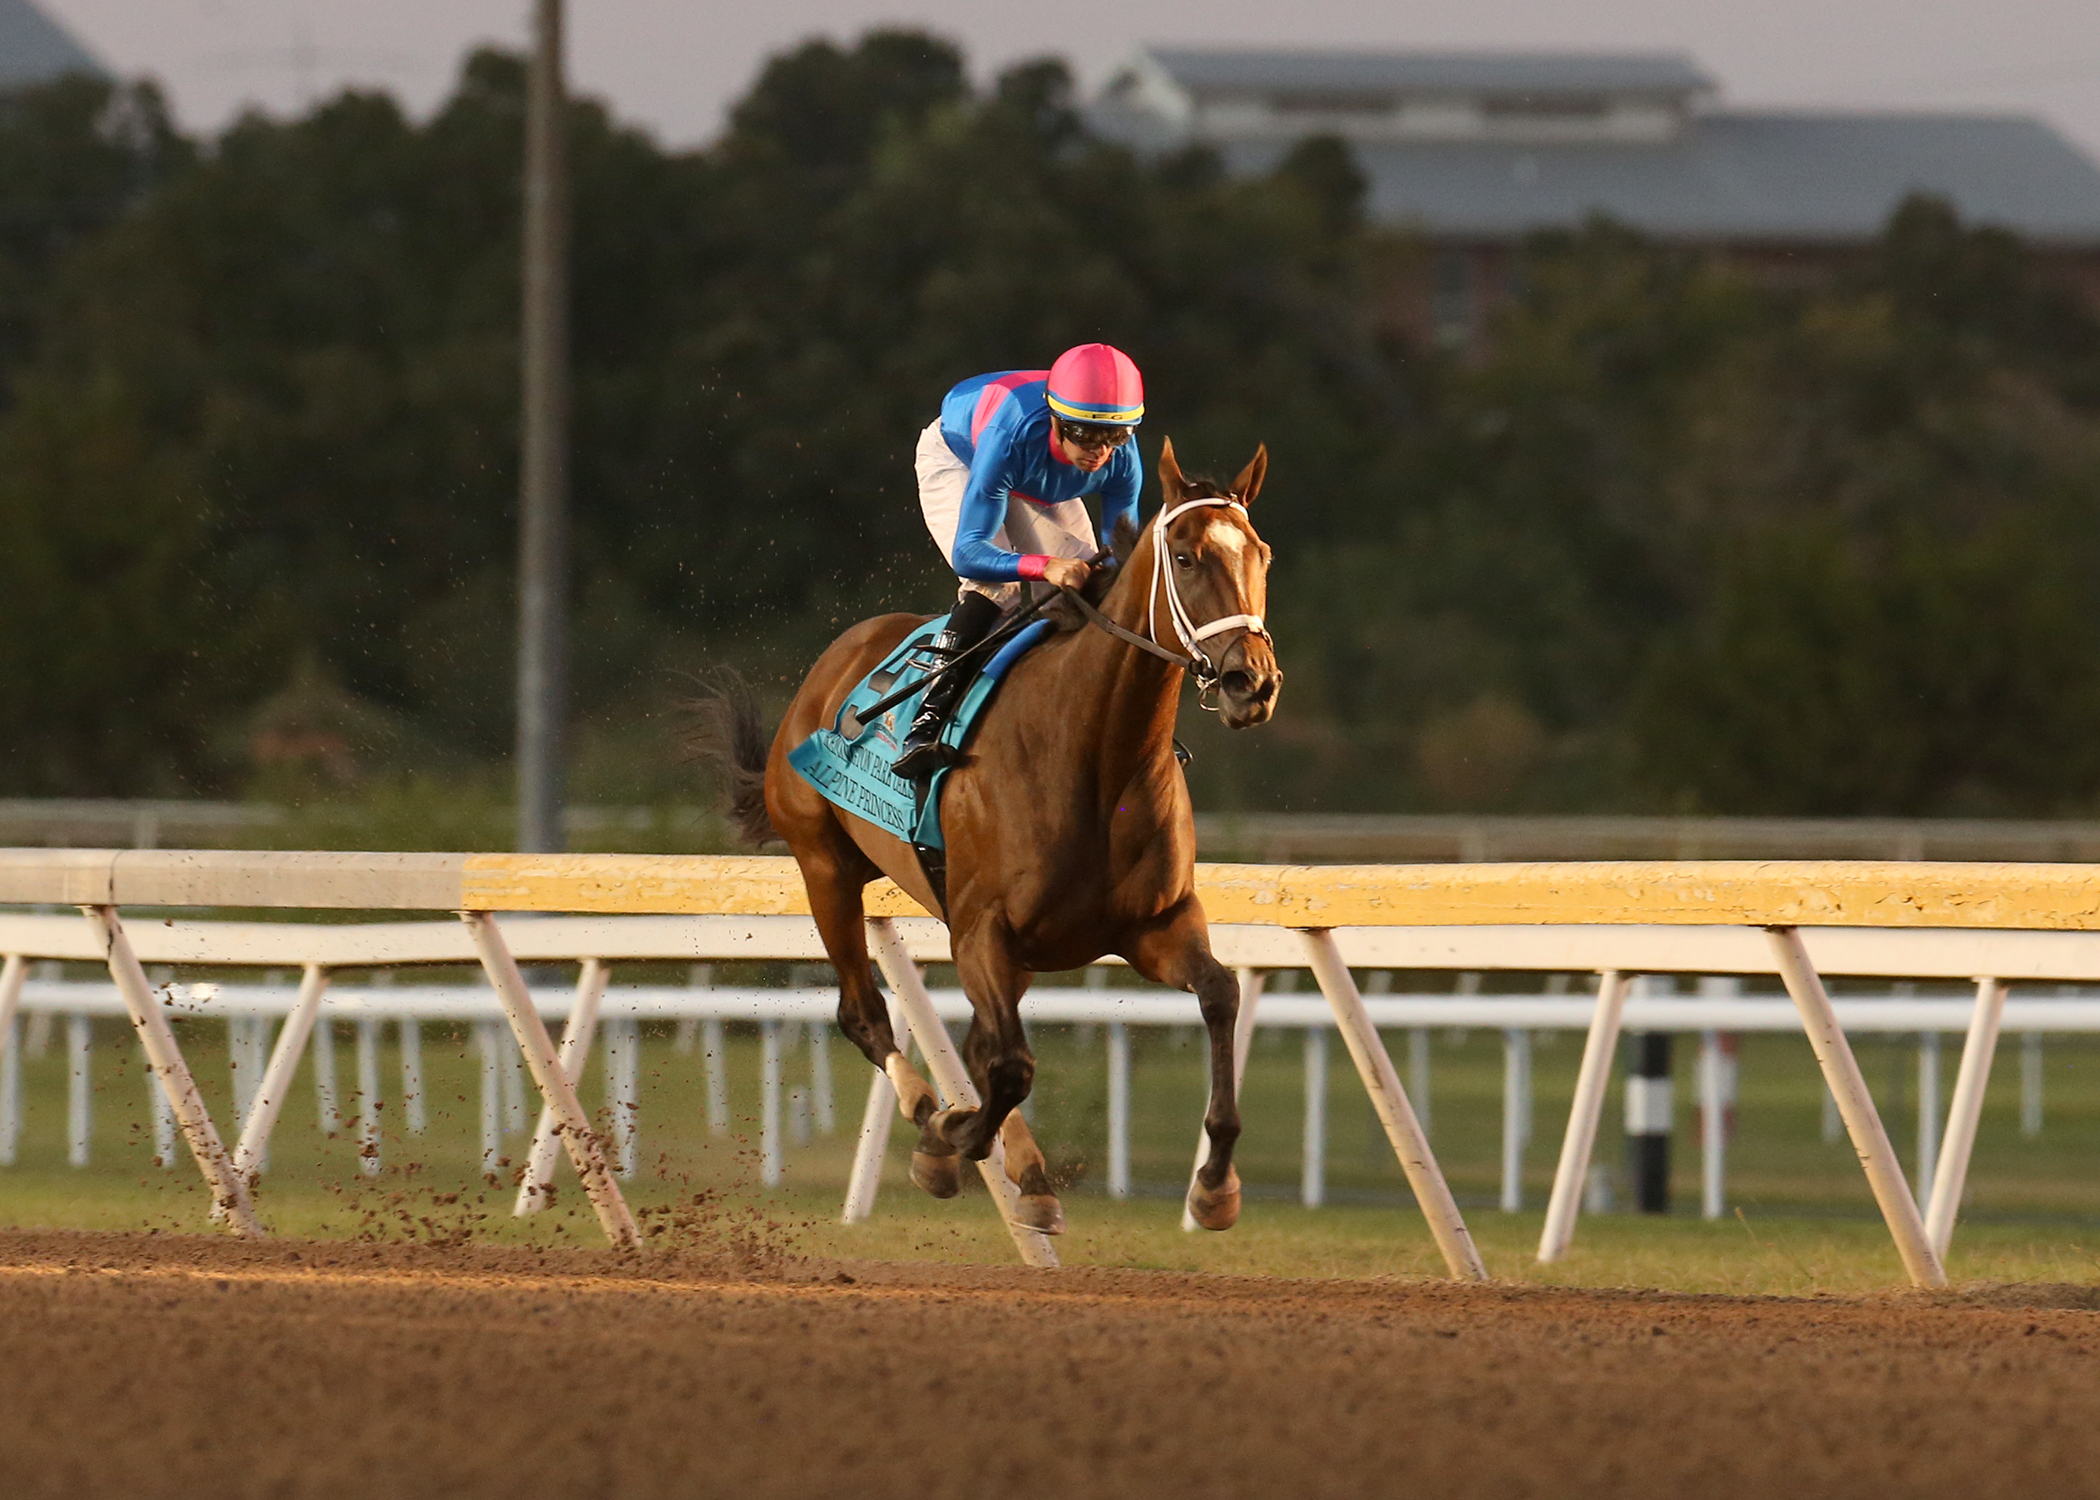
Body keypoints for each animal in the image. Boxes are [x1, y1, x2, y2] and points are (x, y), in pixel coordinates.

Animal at [696, 438, 1280, 1235]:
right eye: (1186, 558)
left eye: (1262, 554)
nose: (1254, 683)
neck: (1097, 755)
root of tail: (838, 658)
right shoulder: (980, 930)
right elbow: (1009, 1066)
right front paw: (948, 1138)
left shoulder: (1156, 924)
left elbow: (1220, 995)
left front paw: (1215, 1184)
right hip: (825, 868)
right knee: (865, 1015)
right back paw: (935, 1117)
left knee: (974, 1041)